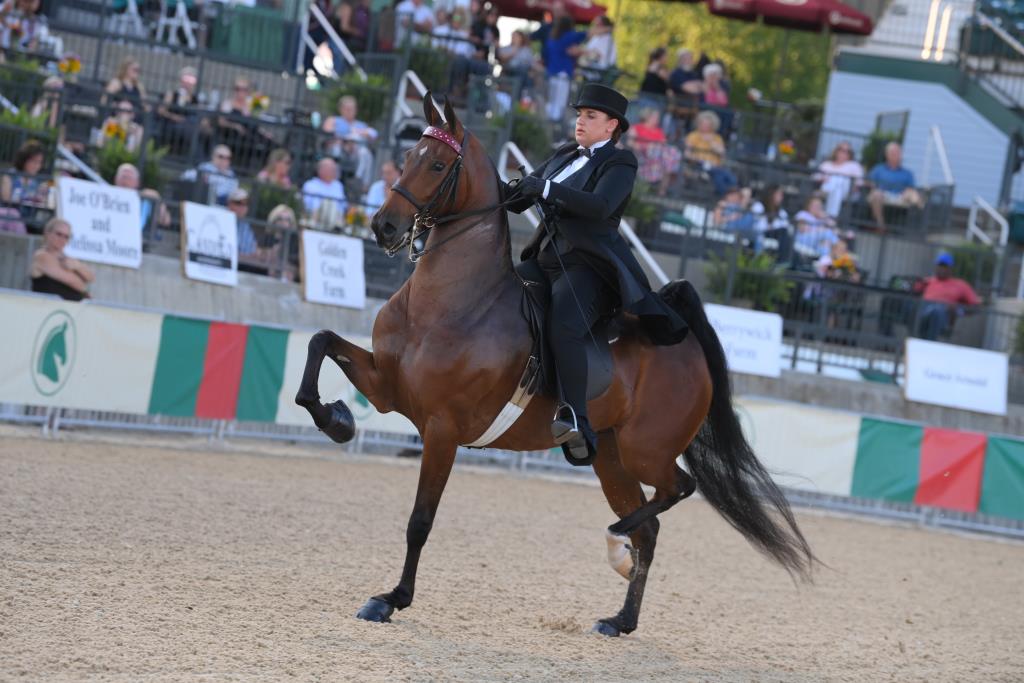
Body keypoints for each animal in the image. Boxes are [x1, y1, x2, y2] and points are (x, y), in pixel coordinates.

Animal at [295, 93, 815, 637]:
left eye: (437, 164)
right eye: (407, 157)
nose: (384, 227)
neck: (448, 302)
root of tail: (686, 341)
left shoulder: (441, 428)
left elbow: (420, 520)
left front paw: (391, 599)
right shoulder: (386, 387)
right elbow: (318, 345)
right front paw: (336, 419)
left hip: (645, 450)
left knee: (677, 490)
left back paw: (615, 547)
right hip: (611, 457)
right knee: (649, 526)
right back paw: (621, 618)